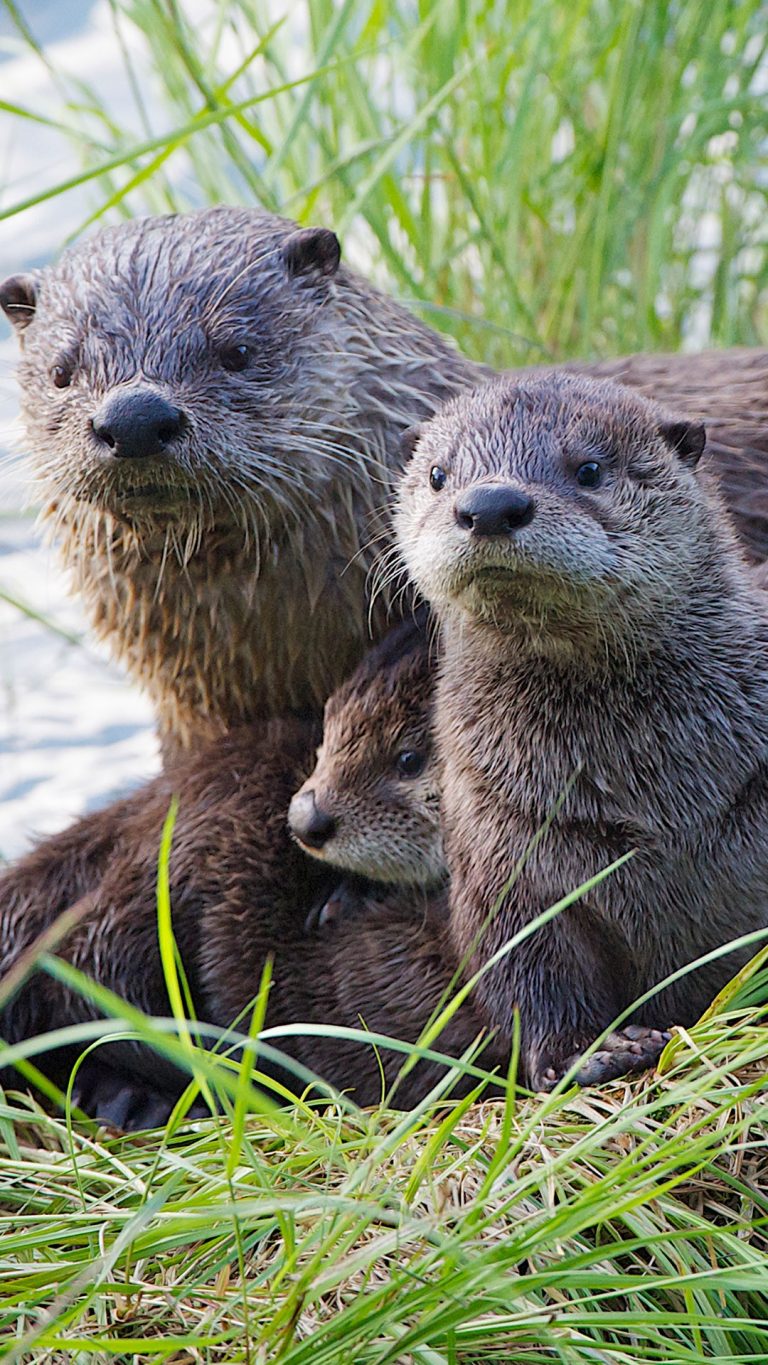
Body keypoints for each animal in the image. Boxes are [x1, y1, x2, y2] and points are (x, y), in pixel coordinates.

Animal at [395, 373, 768, 1090]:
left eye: (589, 469)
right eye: (438, 474)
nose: (489, 504)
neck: (657, 801)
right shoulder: (502, 848)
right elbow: (527, 967)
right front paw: (591, 1052)